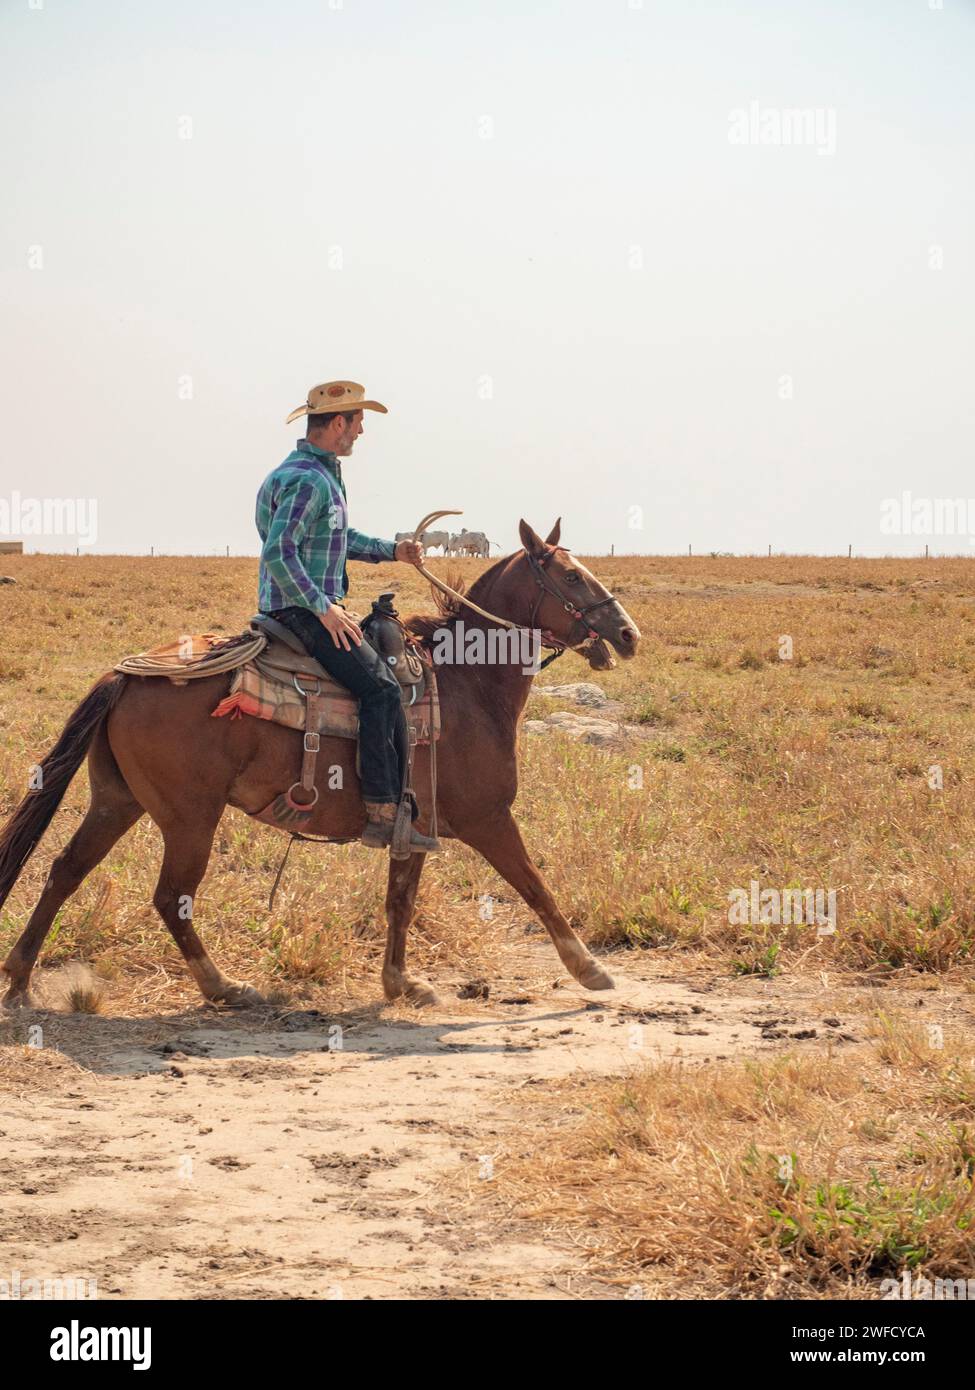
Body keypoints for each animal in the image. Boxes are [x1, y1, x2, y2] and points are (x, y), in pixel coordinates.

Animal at [0, 520, 640, 1010]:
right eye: (571, 575)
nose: (628, 633)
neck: (467, 683)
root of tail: (126, 676)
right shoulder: (489, 819)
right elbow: (535, 887)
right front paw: (590, 969)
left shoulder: (417, 825)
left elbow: (400, 901)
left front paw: (402, 984)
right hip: (189, 818)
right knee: (170, 897)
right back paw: (224, 987)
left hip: (118, 801)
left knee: (65, 870)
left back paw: (20, 982)